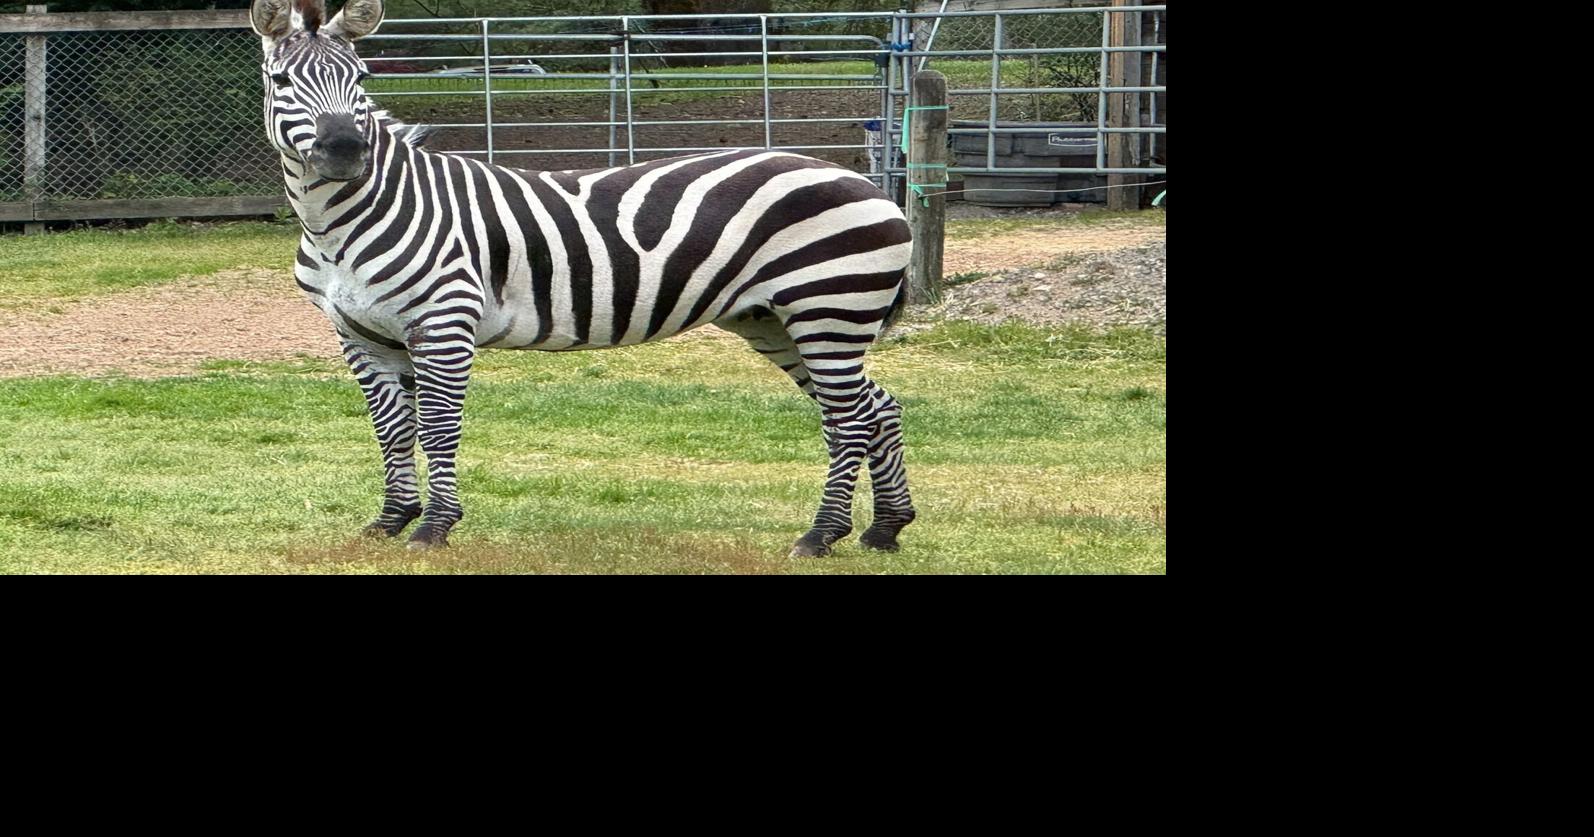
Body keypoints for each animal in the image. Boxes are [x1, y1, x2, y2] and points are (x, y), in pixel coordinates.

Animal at [251, 0, 917, 558]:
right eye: (280, 81)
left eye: (362, 78)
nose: (345, 152)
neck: (341, 223)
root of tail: (865, 182)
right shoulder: (360, 335)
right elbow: (392, 431)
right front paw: (391, 520)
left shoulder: (443, 321)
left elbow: (438, 429)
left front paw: (434, 528)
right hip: (775, 319)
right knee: (876, 407)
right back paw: (884, 529)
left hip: (828, 308)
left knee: (848, 421)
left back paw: (821, 536)